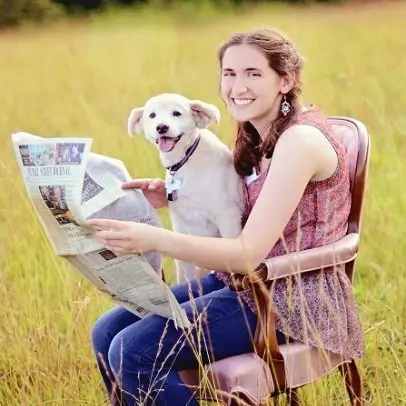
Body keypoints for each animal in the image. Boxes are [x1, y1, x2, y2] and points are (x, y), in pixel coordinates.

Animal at [127, 93, 243, 282]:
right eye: (152, 115)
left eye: (176, 113)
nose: (162, 127)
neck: (184, 161)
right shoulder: (181, 227)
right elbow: (185, 276)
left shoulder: (228, 217)